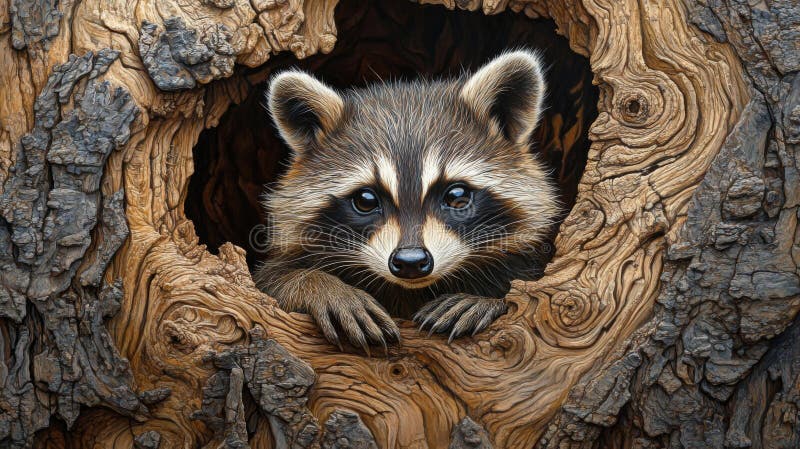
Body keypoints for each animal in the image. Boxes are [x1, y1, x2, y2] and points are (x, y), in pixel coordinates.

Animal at [255, 50, 559, 352]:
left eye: (456, 196)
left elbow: (523, 289)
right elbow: (271, 283)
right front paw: (324, 287)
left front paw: (486, 300)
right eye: (366, 200)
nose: (411, 261)